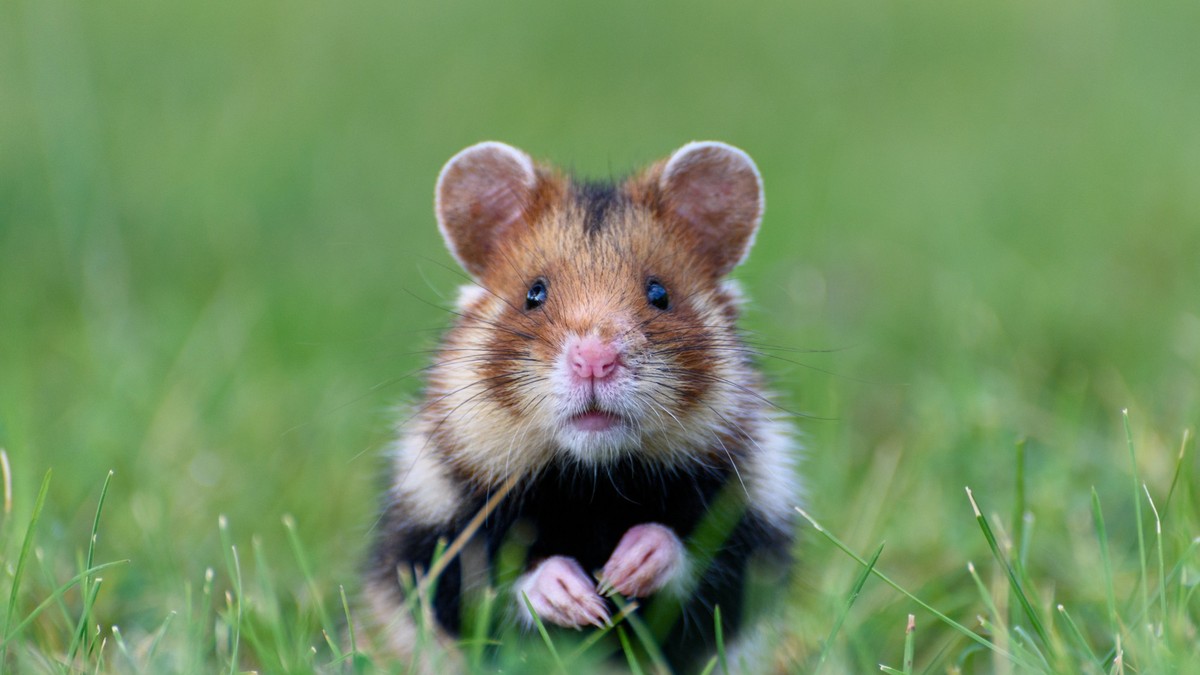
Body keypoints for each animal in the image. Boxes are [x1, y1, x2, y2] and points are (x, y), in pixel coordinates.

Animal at [364, 141, 799, 672]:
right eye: (534, 293)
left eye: (660, 294)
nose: (594, 359)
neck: (594, 482)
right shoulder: (434, 532)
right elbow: (480, 592)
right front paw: (579, 599)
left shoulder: (751, 520)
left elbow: (703, 565)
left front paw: (624, 571)